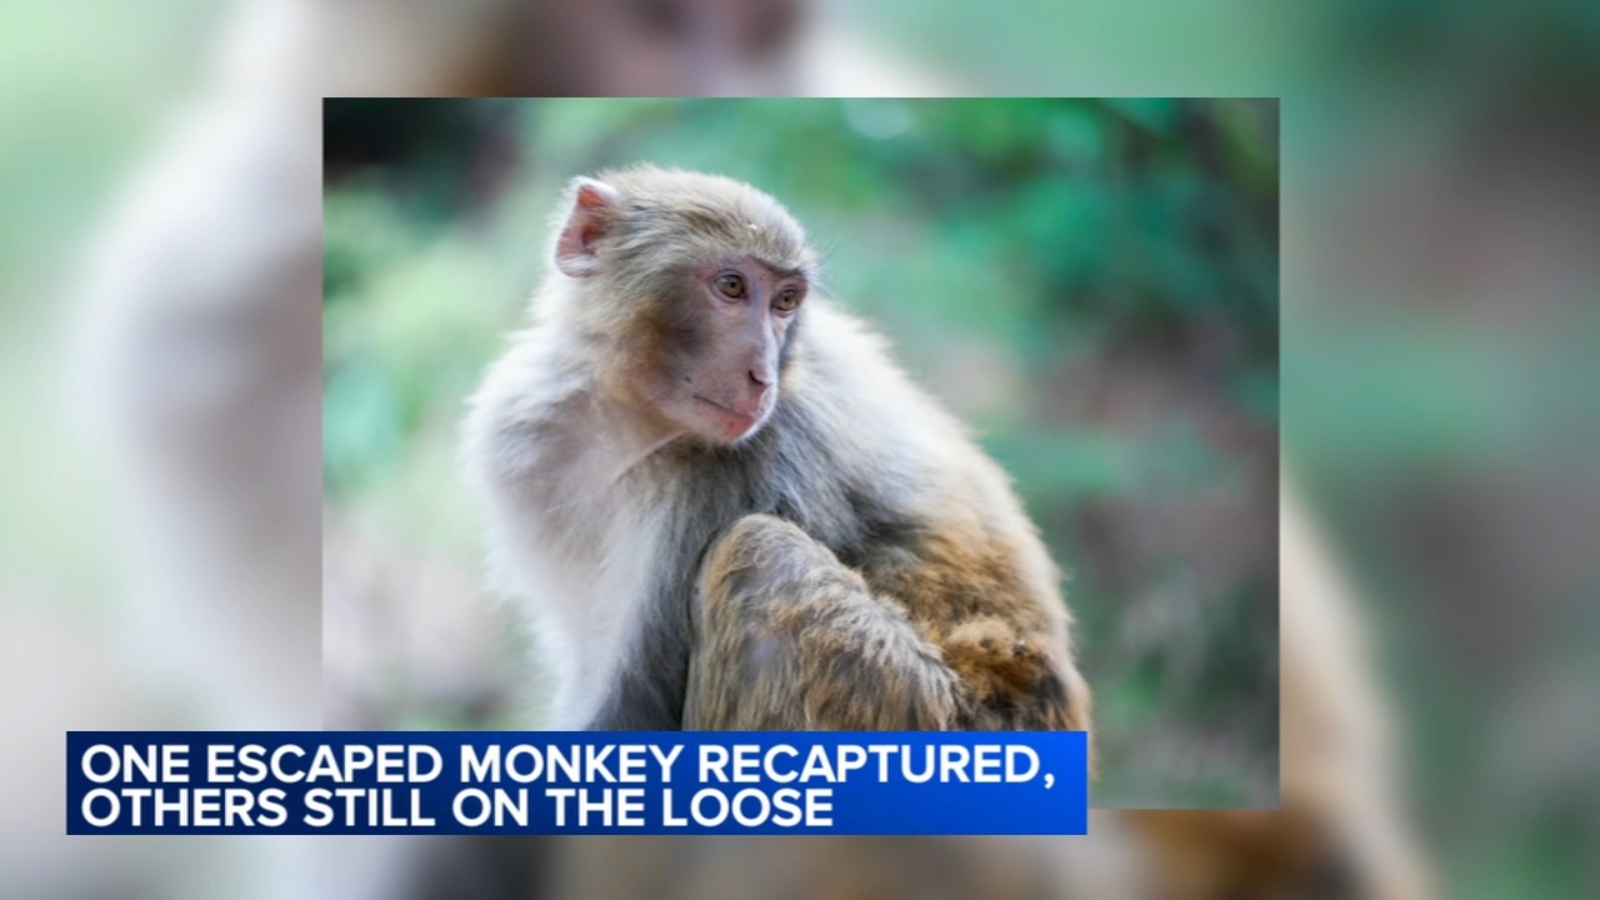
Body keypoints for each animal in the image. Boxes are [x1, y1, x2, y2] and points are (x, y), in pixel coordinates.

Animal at [462, 165, 1092, 734]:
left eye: (785, 301)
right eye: (732, 287)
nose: (762, 375)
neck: (630, 419)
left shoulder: (745, 471)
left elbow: (638, 707)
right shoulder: (523, 439)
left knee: (766, 557)